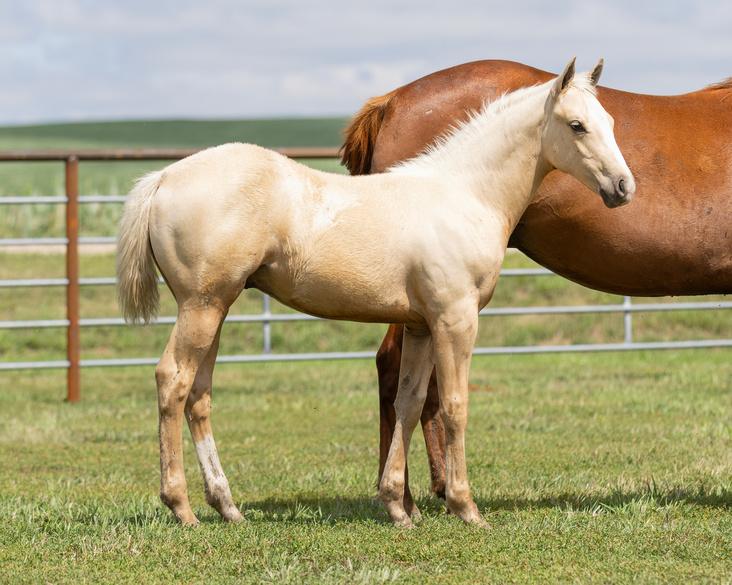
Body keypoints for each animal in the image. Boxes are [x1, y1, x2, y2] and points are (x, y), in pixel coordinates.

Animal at [117, 58, 634, 528]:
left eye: (611, 122)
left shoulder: (420, 326)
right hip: (201, 305)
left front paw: (397, 507)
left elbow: (408, 403)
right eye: (577, 125)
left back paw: (227, 507)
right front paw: (465, 508)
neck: (465, 194)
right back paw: (182, 507)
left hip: (216, 307)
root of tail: (163, 179)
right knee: (173, 381)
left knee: (199, 394)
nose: (624, 187)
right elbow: (454, 405)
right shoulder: (455, 319)